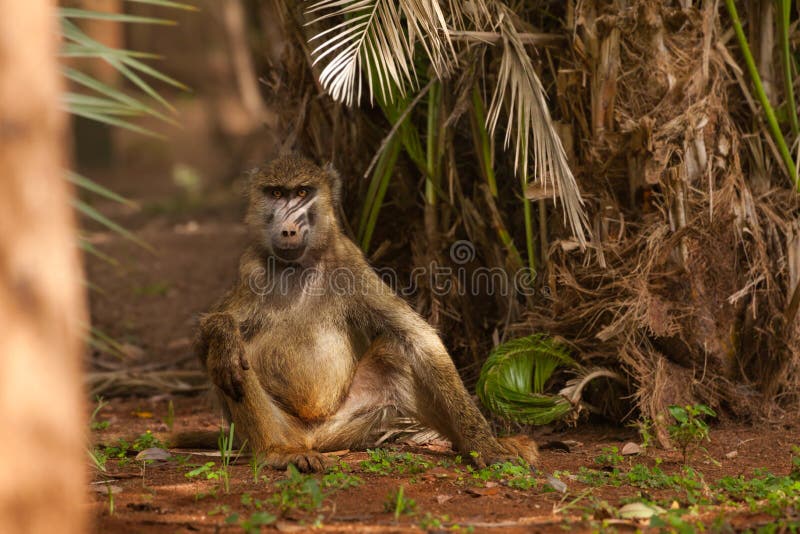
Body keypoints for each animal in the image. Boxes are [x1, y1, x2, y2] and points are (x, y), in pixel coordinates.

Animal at [194, 155, 538, 472]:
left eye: (303, 192)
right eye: (276, 193)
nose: (288, 229)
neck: (298, 267)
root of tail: (310, 437)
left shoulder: (351, 263)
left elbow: (418, 338)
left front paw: (485, 445)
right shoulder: (251, 269)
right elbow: (207, 341)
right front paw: (223, 332)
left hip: (345, 424)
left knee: (394, 356)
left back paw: (474, 445)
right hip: (284, 427)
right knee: (233, 363)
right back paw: (276, 453)